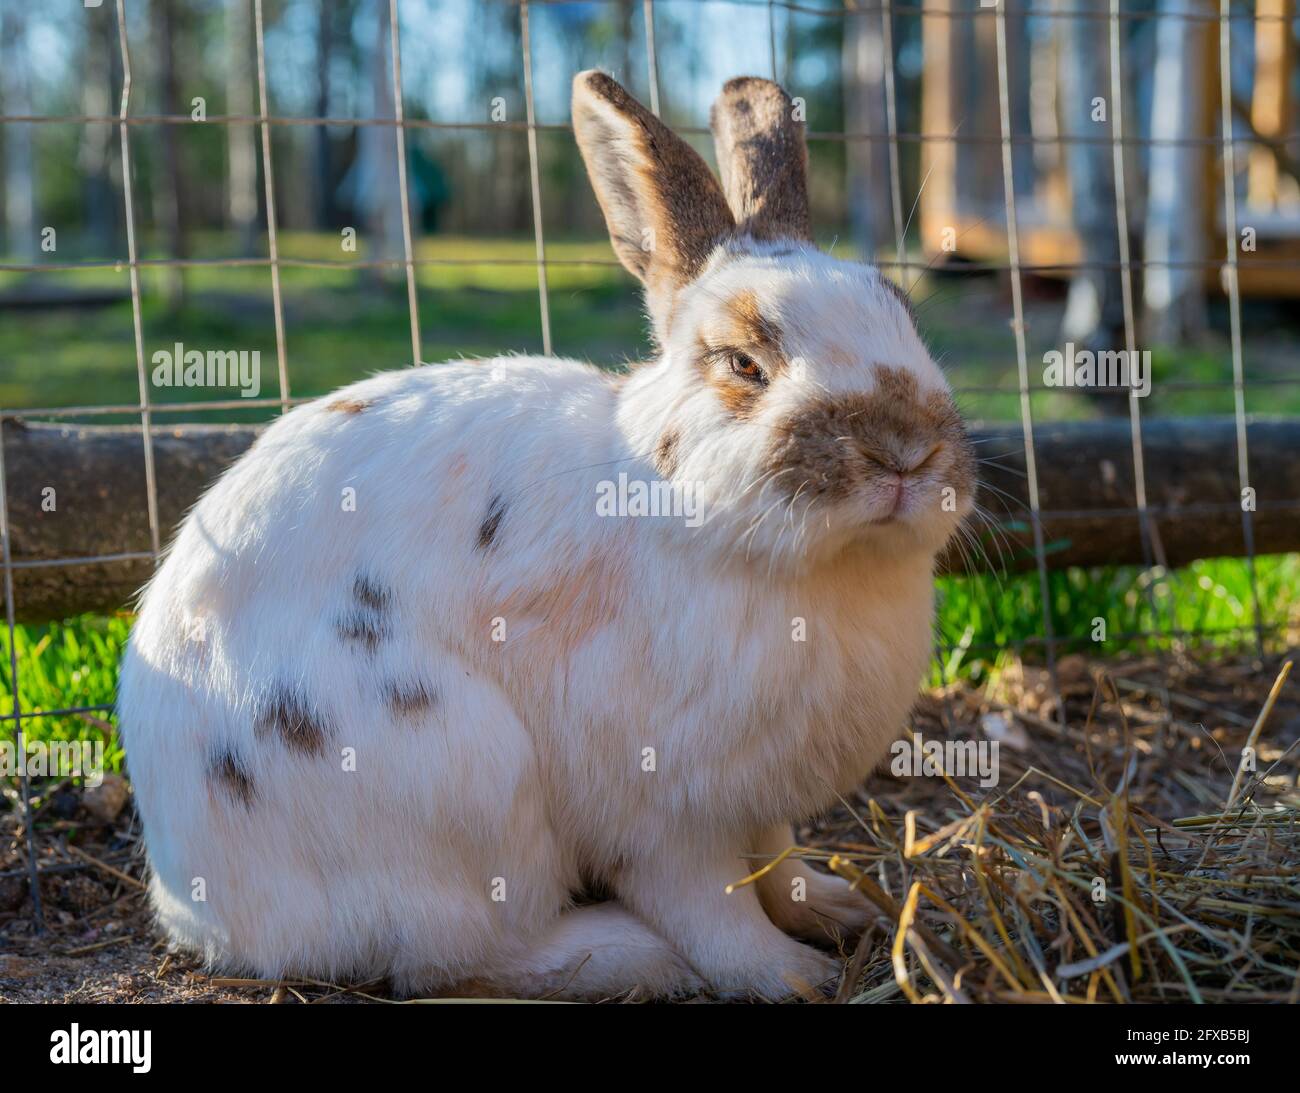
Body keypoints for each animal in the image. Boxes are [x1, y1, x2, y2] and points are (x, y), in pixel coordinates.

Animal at [116, 71, 975, 1001]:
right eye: (745, 363)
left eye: (904, 317)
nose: (904, 449)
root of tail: (193, 907)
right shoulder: (663, 813)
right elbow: (714, 908)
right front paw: (792, 973)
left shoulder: (760, 800)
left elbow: (777, 865)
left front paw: (837, 908)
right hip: (465, 781)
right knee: (466, 953)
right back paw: (631, 952)